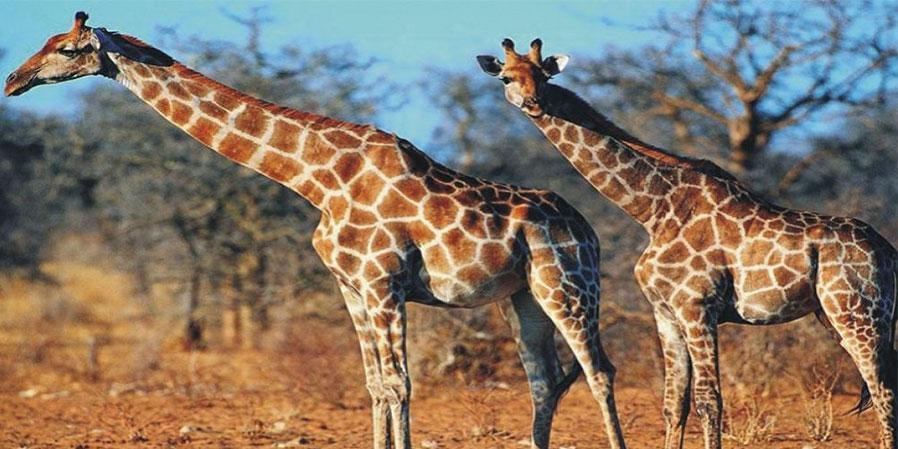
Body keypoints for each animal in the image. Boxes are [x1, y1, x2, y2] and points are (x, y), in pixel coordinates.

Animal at [5, 14, 629, 449]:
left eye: (66, 48)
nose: (13, 79)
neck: (318, 178)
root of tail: (589, 230)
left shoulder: (382, 284)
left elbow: (400, 383)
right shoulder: (351, 287)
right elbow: (377, 385)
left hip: (569, 286)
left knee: (599, 369)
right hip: (522, 297)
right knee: (543, 379)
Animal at [478, 38, 898, 449]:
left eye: (543, 75)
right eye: (507, 77)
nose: (534, 103)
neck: (654, 209)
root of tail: (889, 254)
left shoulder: (697, 307)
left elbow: (709, 399)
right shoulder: (665, 313)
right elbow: (674, 402)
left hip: (858, 314)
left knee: (883, 390)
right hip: (838, 315)